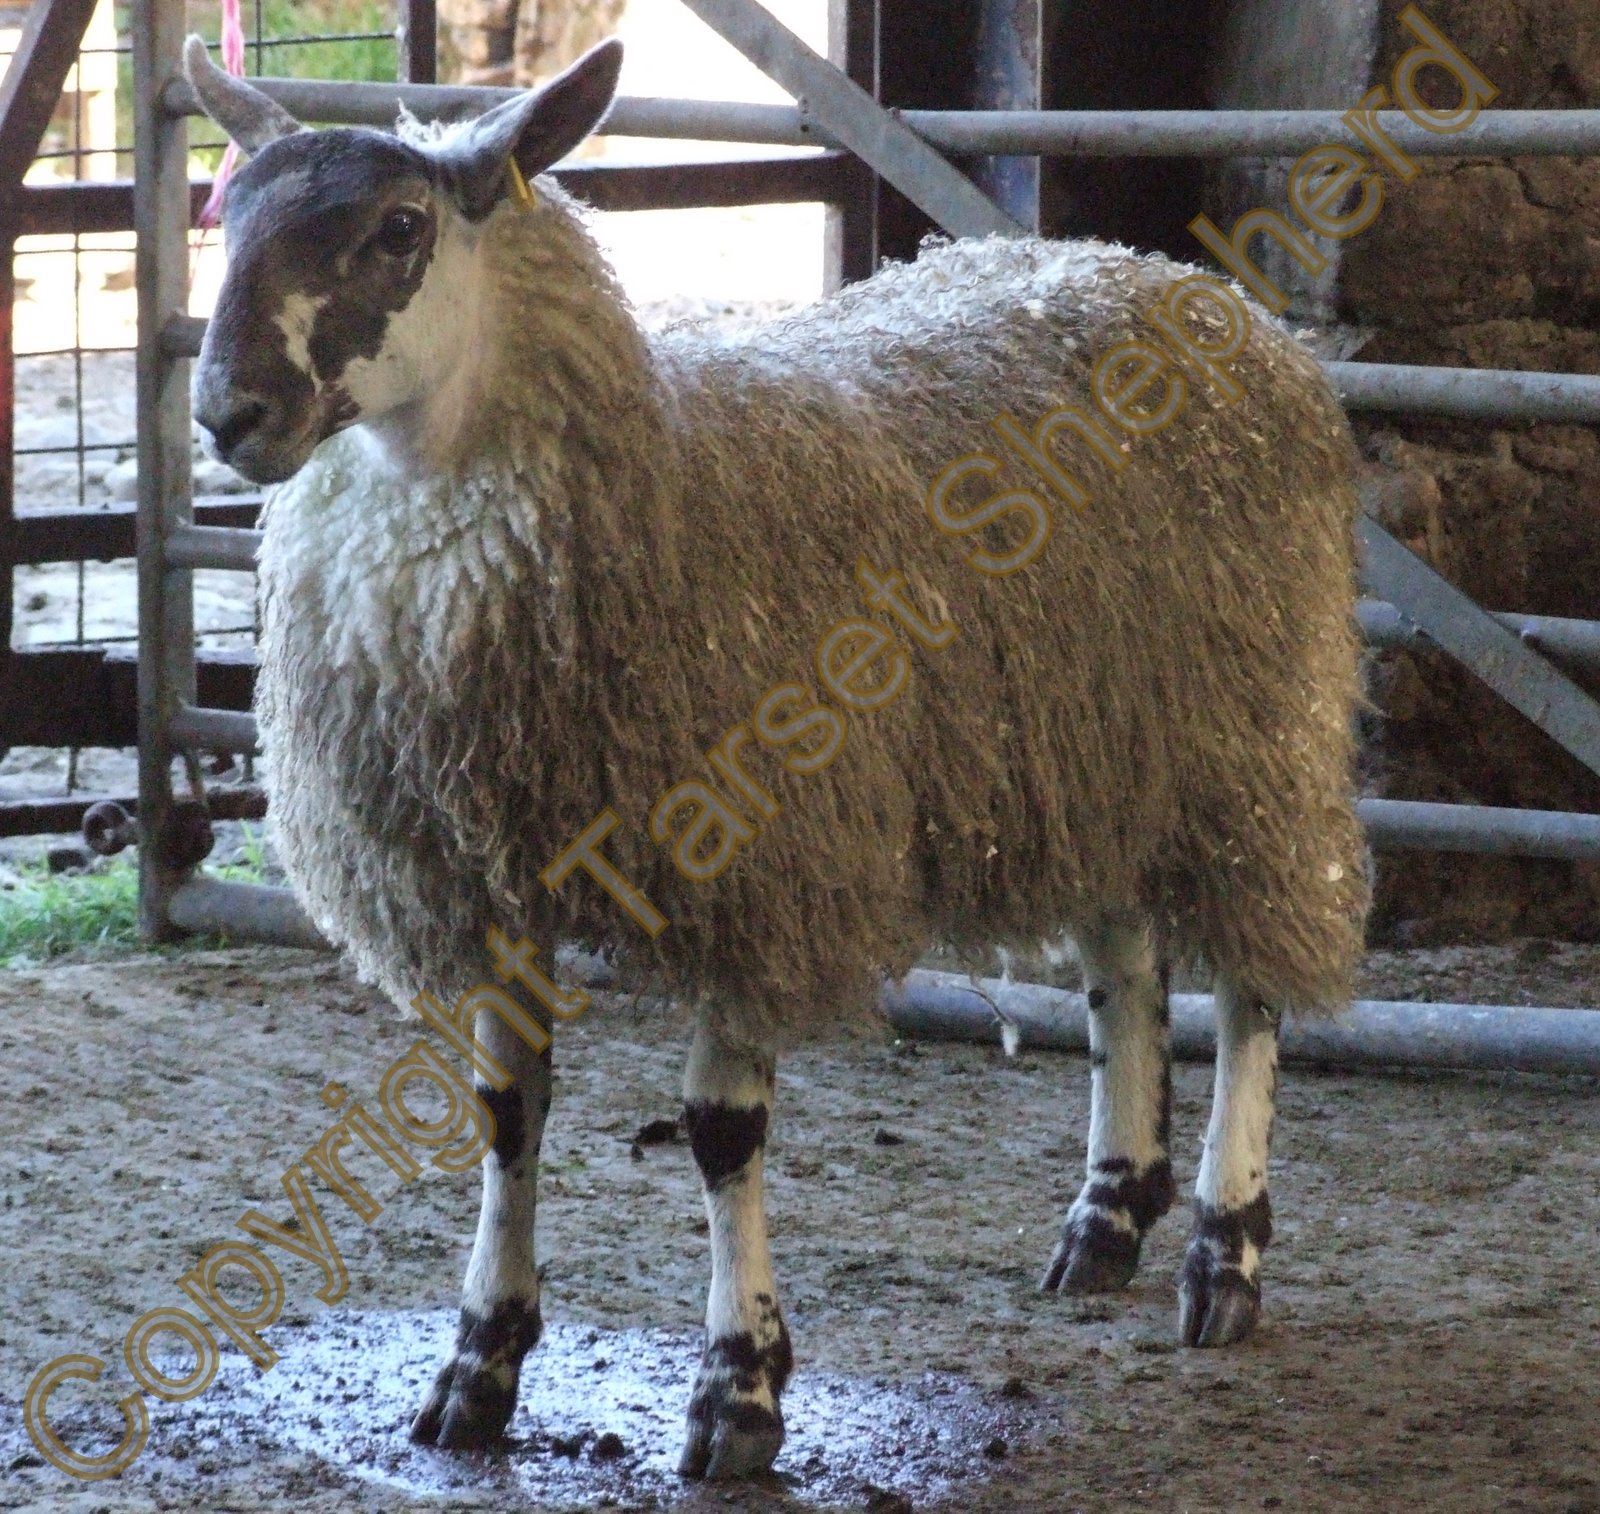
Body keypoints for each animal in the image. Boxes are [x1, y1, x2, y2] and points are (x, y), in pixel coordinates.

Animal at [182, 36, 1370, 1480]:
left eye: (401, 228)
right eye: (227, 215)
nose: (227, 411)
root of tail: (1182, 283)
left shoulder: (760, 868)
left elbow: (719, 1131)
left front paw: (738, 1388)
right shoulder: (499, 862)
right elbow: (506, 1107)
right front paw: (478, 1364)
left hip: (1253, 729)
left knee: (1252, 984)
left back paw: (1220, 1247)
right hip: (1089, 733)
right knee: (1122, 966)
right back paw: (1105, 1217)